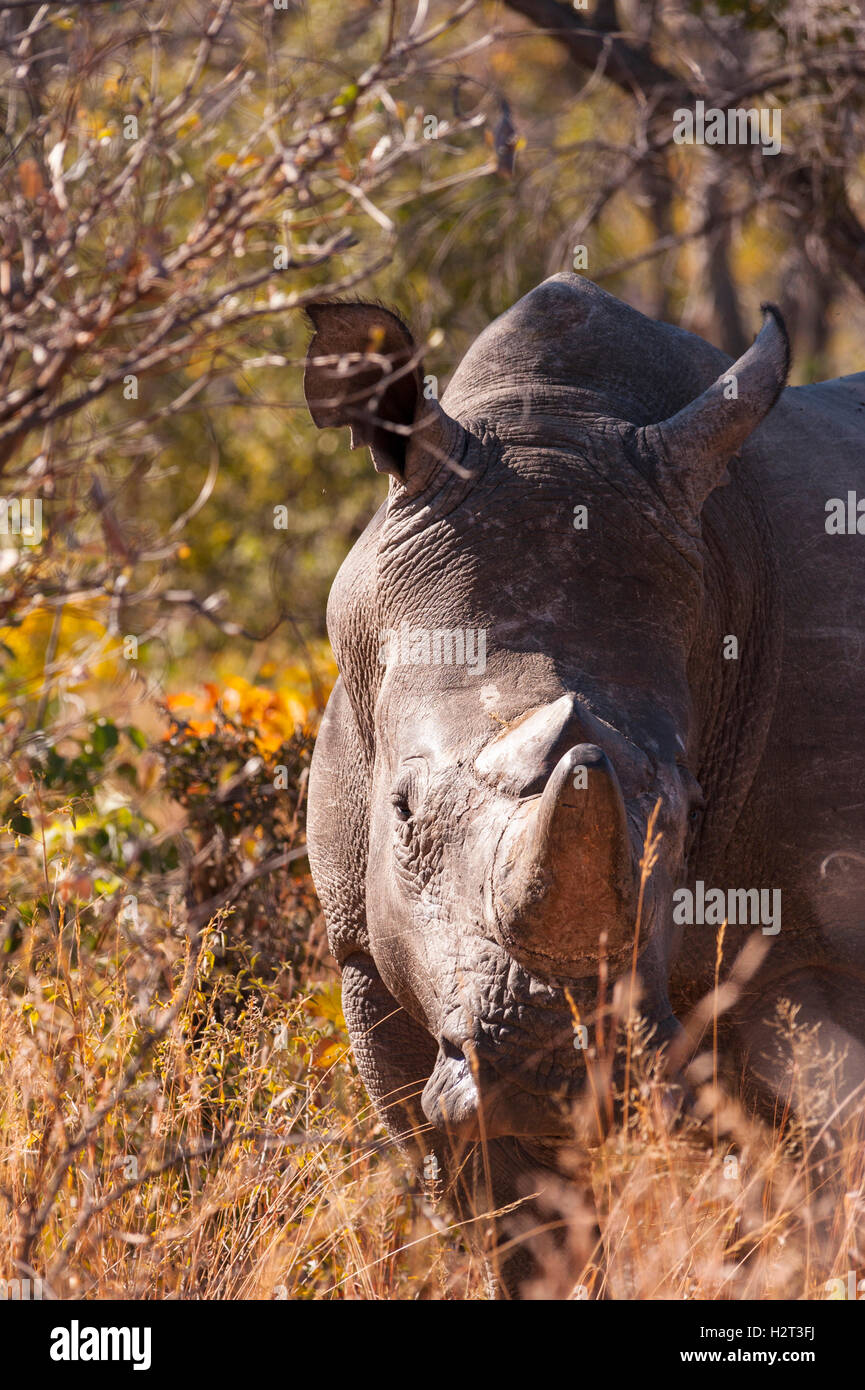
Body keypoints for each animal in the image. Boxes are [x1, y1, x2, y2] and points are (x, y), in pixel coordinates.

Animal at [302, 273, 865, 1294]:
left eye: (686, 815)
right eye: (398, 810)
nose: (548, 1067)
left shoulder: (821, 948)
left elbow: (818, 1192)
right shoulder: (364, 952)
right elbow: (517, 1228)